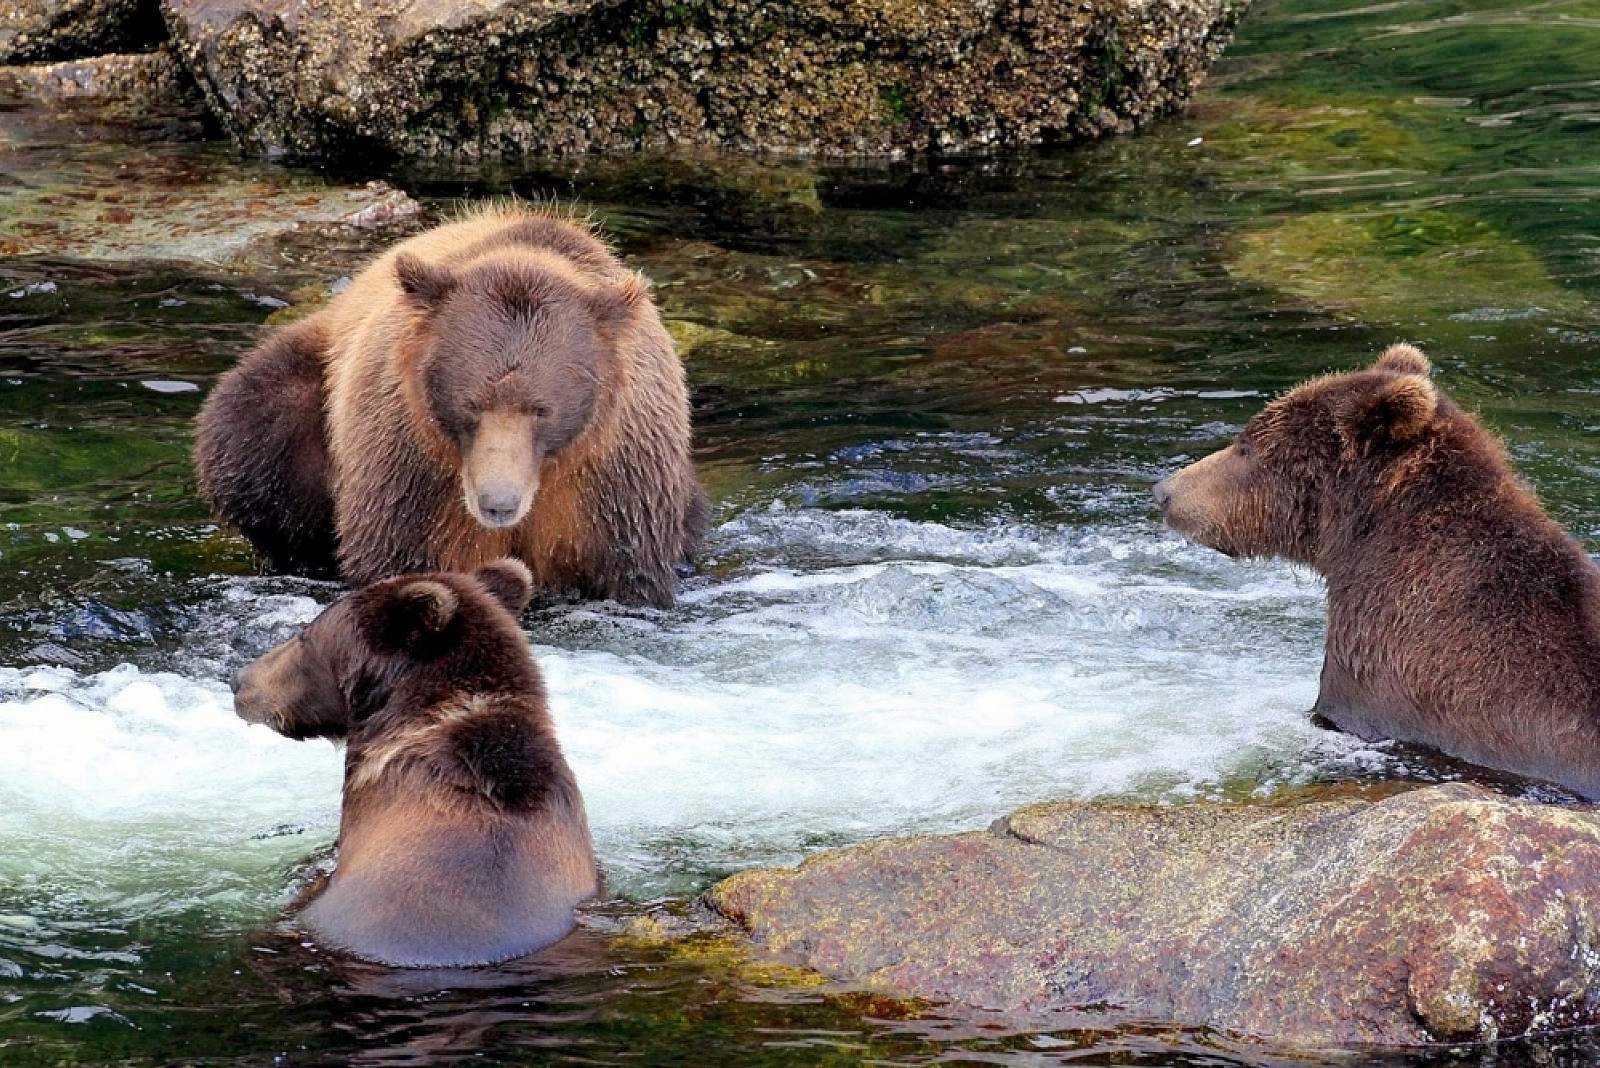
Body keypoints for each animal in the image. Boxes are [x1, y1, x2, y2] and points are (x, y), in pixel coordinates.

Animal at [195, 206, 708, 608]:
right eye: (473, 404)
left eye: (542, 409)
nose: (498, 502)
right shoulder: (410, 463)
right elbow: (399, 556)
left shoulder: (614, 480)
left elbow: (627, 571)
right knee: (250, 435)